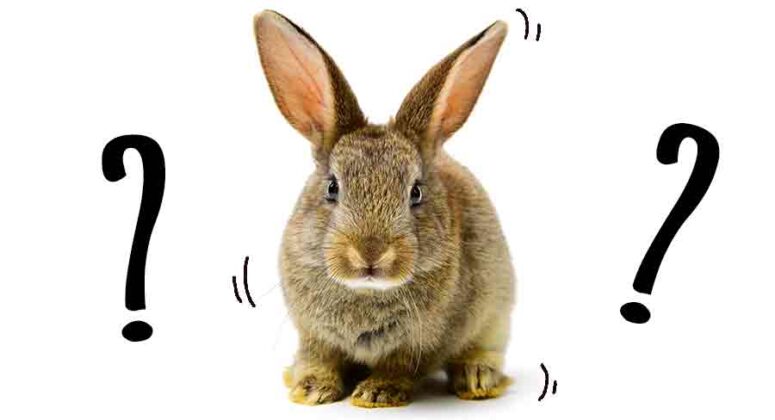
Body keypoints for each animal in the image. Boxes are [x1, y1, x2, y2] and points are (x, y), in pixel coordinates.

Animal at [253, 10, 516, 408]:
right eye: (332, 187)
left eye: (415, 193)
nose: (370, 254)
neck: (366, 291)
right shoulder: (313, 335)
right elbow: (319, 358)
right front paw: (311, 389)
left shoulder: (418, 344)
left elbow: (399, 367)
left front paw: (376, 393)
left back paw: (477, 379)